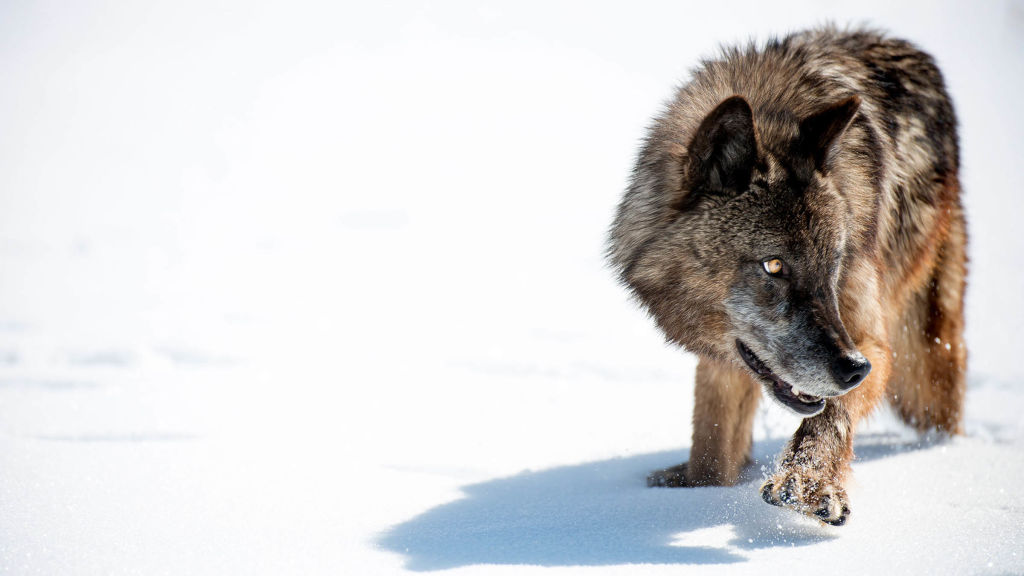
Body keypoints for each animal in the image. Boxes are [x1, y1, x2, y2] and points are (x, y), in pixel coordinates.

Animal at [607, 27, 966, 526]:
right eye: (774, 266)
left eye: (833, 264)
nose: (853, 369)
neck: (771, 113)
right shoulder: (721, 363)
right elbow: (711, 454)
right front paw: (695, 491)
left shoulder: (870, 340)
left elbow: (831, 414)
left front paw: (808, 482)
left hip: (923, 370)